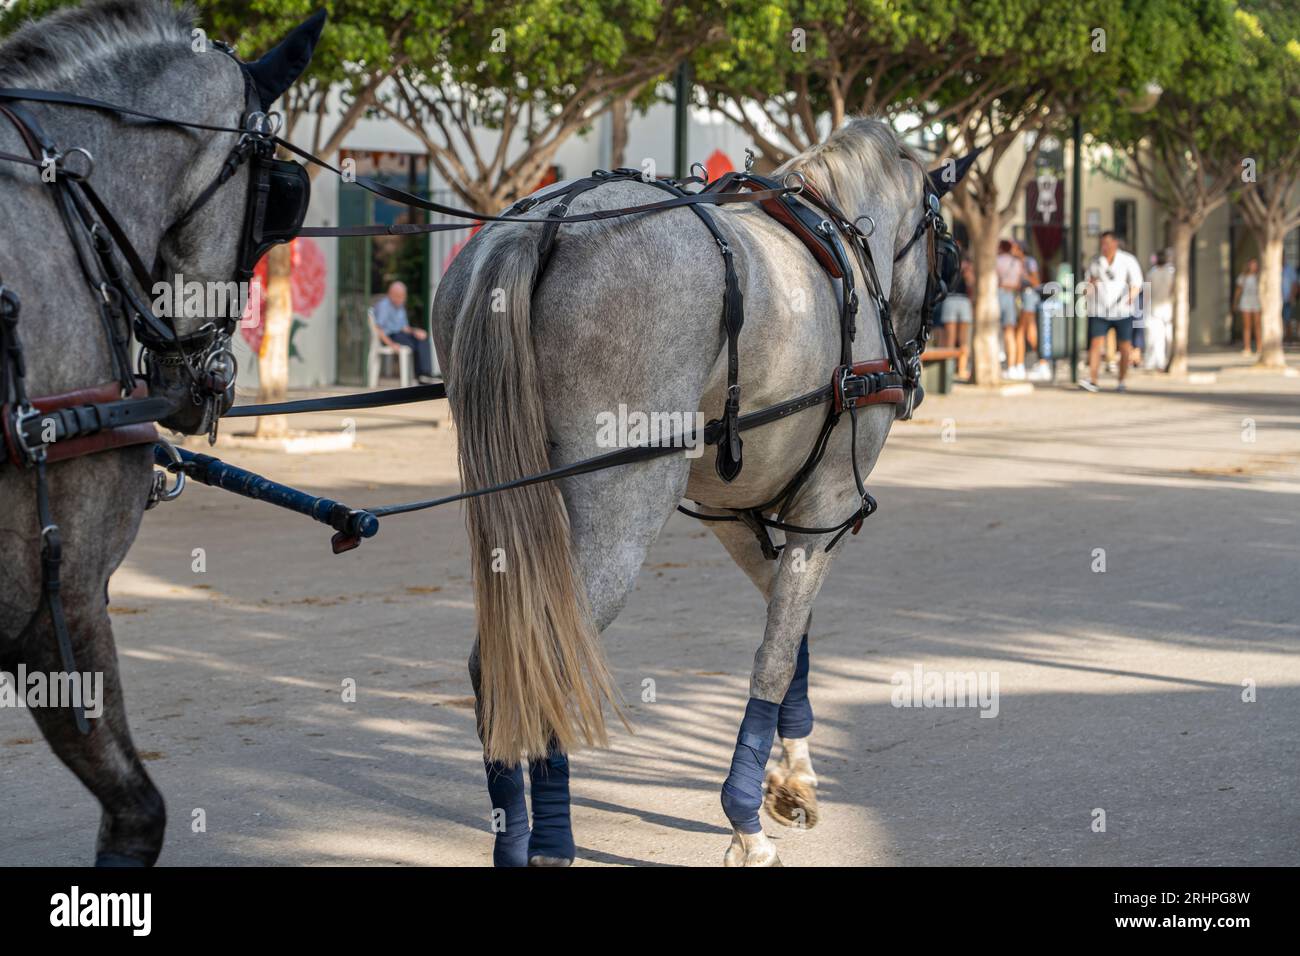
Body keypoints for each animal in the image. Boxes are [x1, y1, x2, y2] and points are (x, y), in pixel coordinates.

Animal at [432, 118, 973, 866]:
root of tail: (546, 221)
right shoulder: (824, 511)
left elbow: (790, 632)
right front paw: (746, 818)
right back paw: (549, 840)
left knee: (506, 663)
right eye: (947, 249)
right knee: (546, 653)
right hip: (621, 511)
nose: (916, 370)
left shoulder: (732, 512)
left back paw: (517, 836)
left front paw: (792, 776)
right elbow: (775, 656)